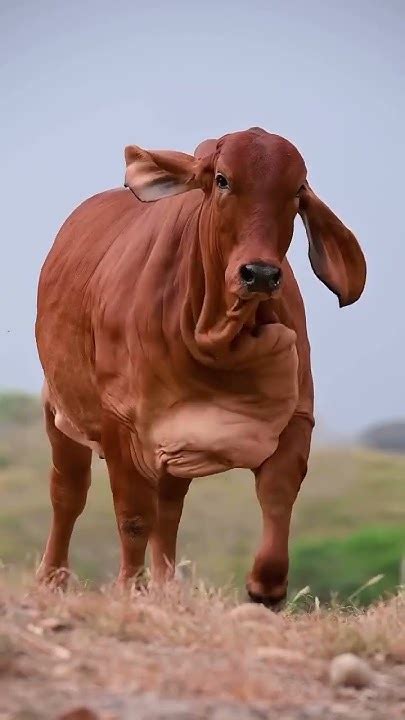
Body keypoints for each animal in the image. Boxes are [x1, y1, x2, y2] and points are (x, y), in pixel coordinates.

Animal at [35, 127, 366, 607]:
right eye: (223, 179)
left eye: (297, 191)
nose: (260, 274)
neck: (217, 340)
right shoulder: (120, 423)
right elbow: (133, 516)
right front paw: (129, 590)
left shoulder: (294, 413)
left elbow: (277, 494)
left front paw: (266, 587)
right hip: (59, 410)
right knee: (68, 492)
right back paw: (52, 579)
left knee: (169, 509)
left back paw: (166, 585)